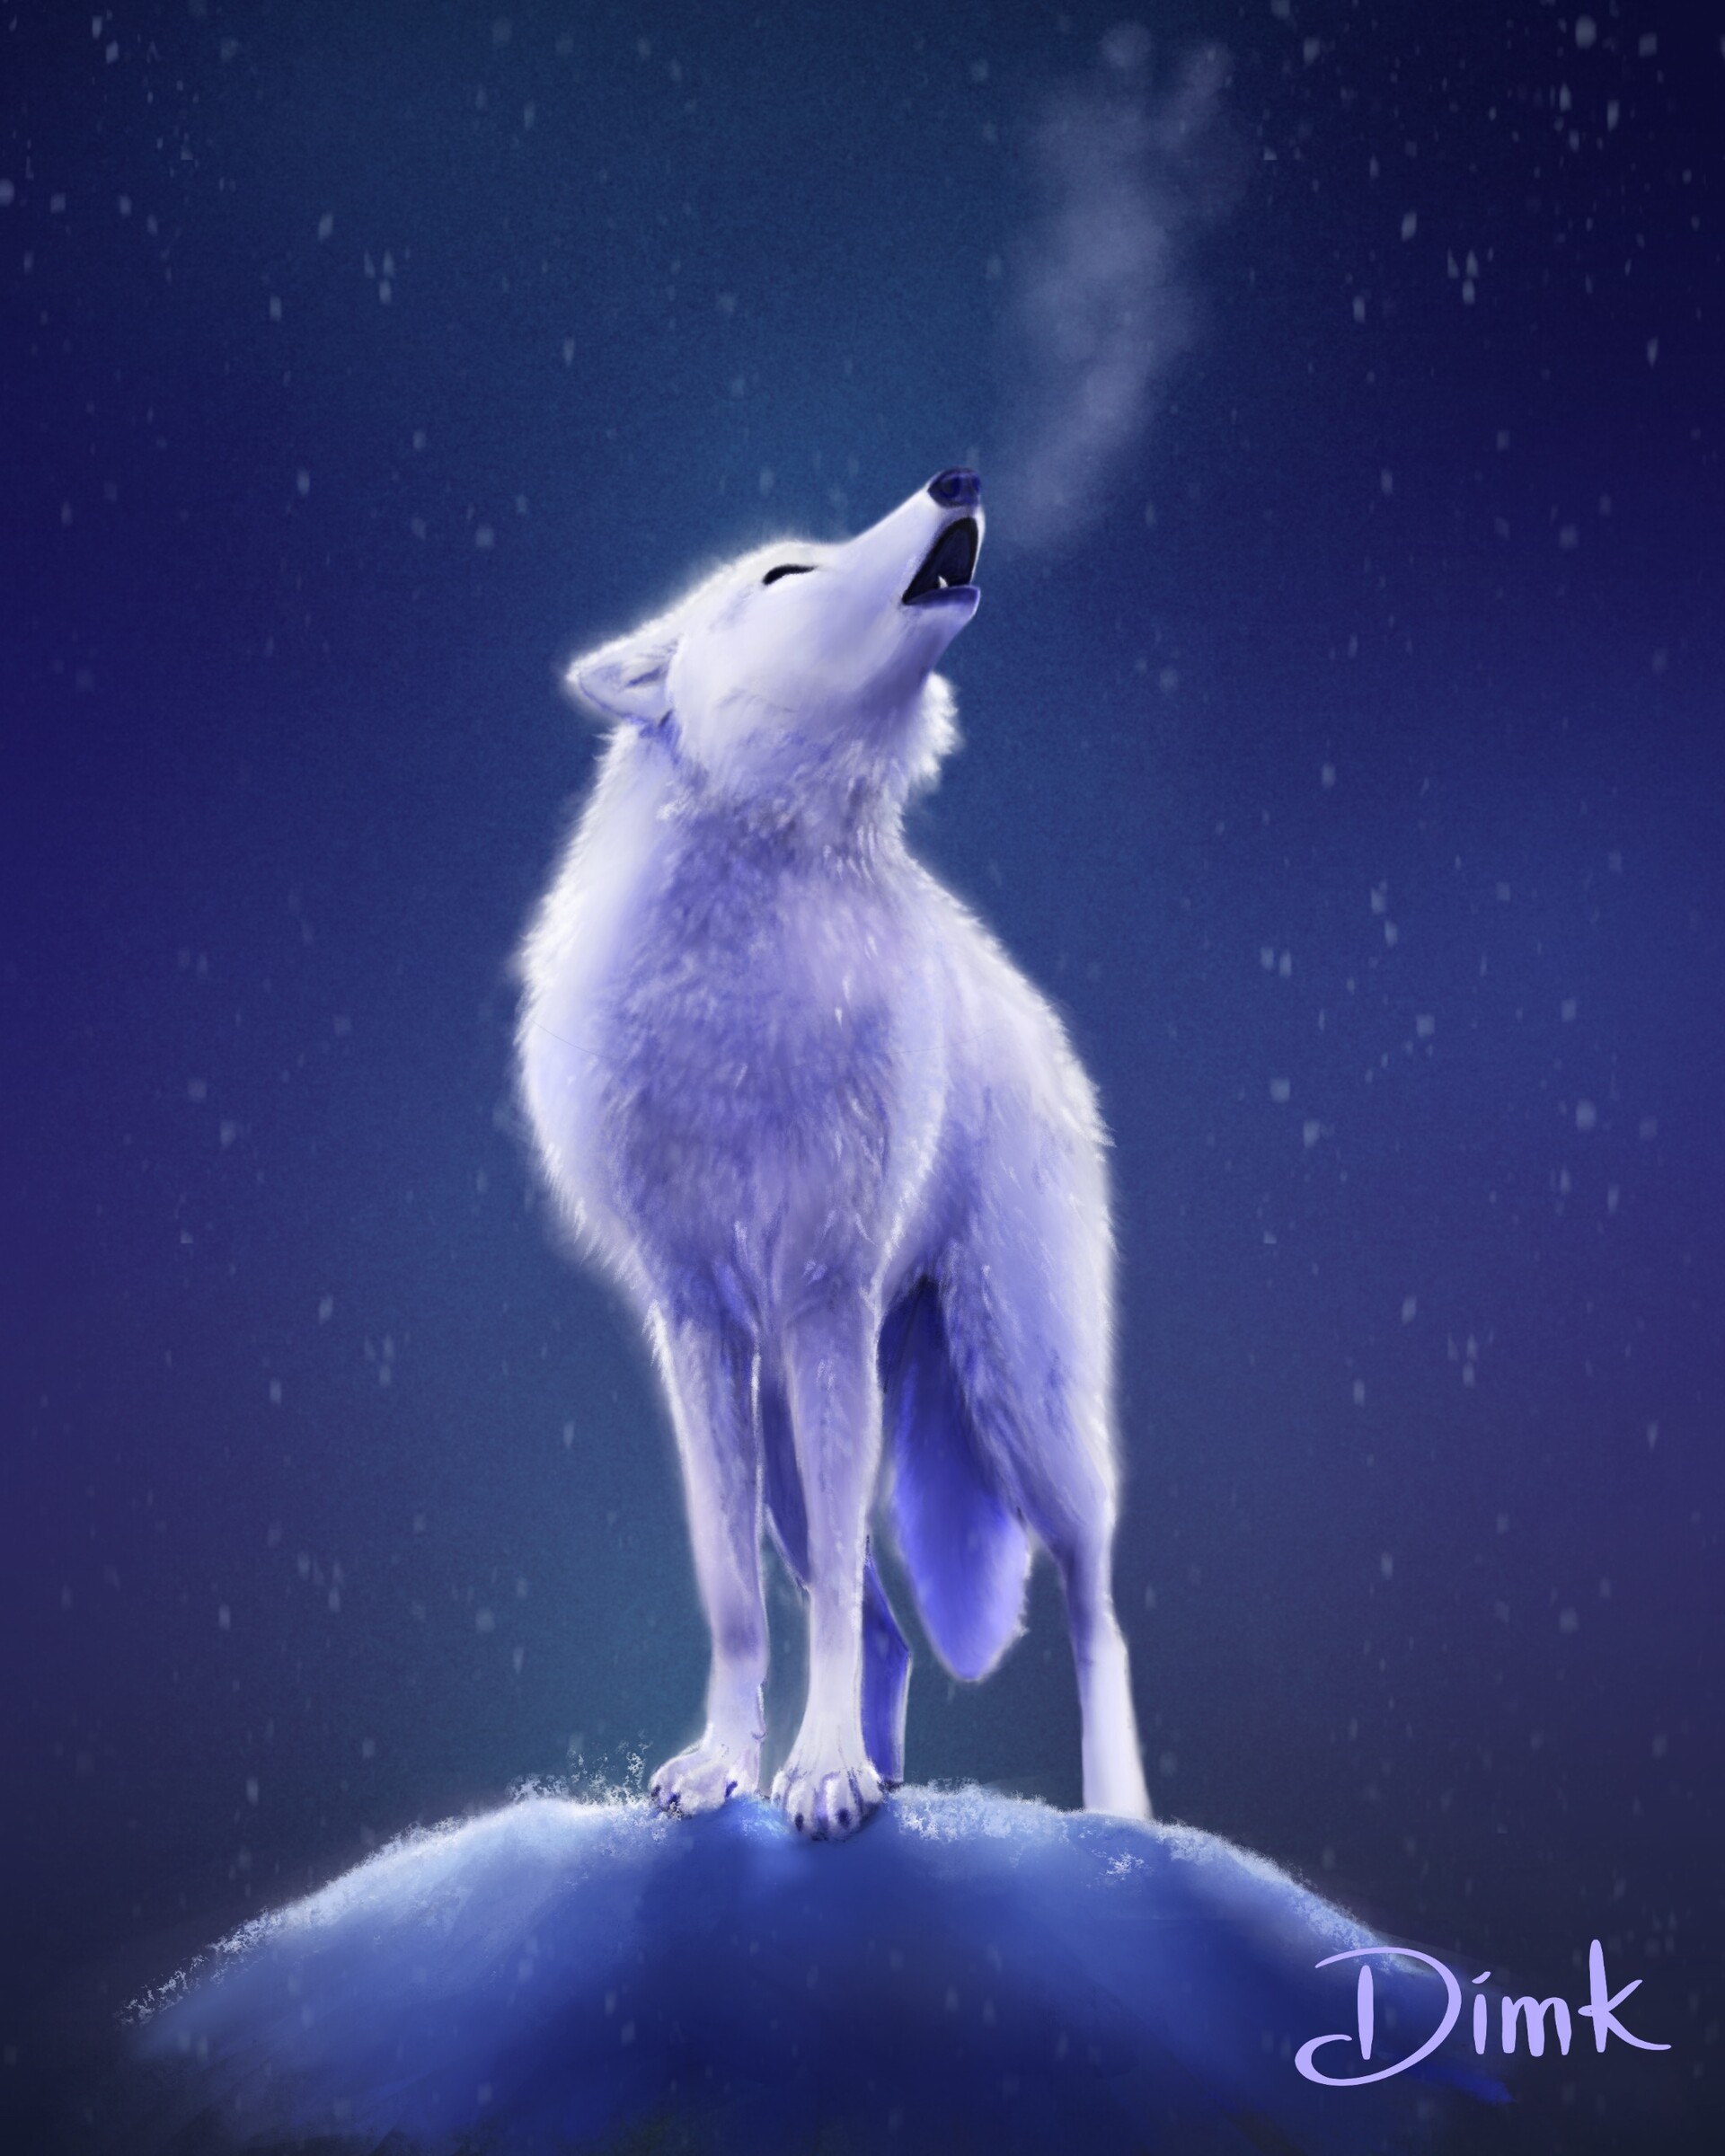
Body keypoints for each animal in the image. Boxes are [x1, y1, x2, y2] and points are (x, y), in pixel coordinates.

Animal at [516, 470, 1151, 1839]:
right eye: (785, 575)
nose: (959, 479)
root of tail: (1035, 1016)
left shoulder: (826, 1302)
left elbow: (829, 1624)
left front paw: (816, 1773)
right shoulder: (699, 1328)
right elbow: (735, 1599)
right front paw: (730, 1769)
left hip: (1024, 1400)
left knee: (1091, 1605)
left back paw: (1122, 1821)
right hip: (803, 1438)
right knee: (879, 1625)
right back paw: (883, 1772)